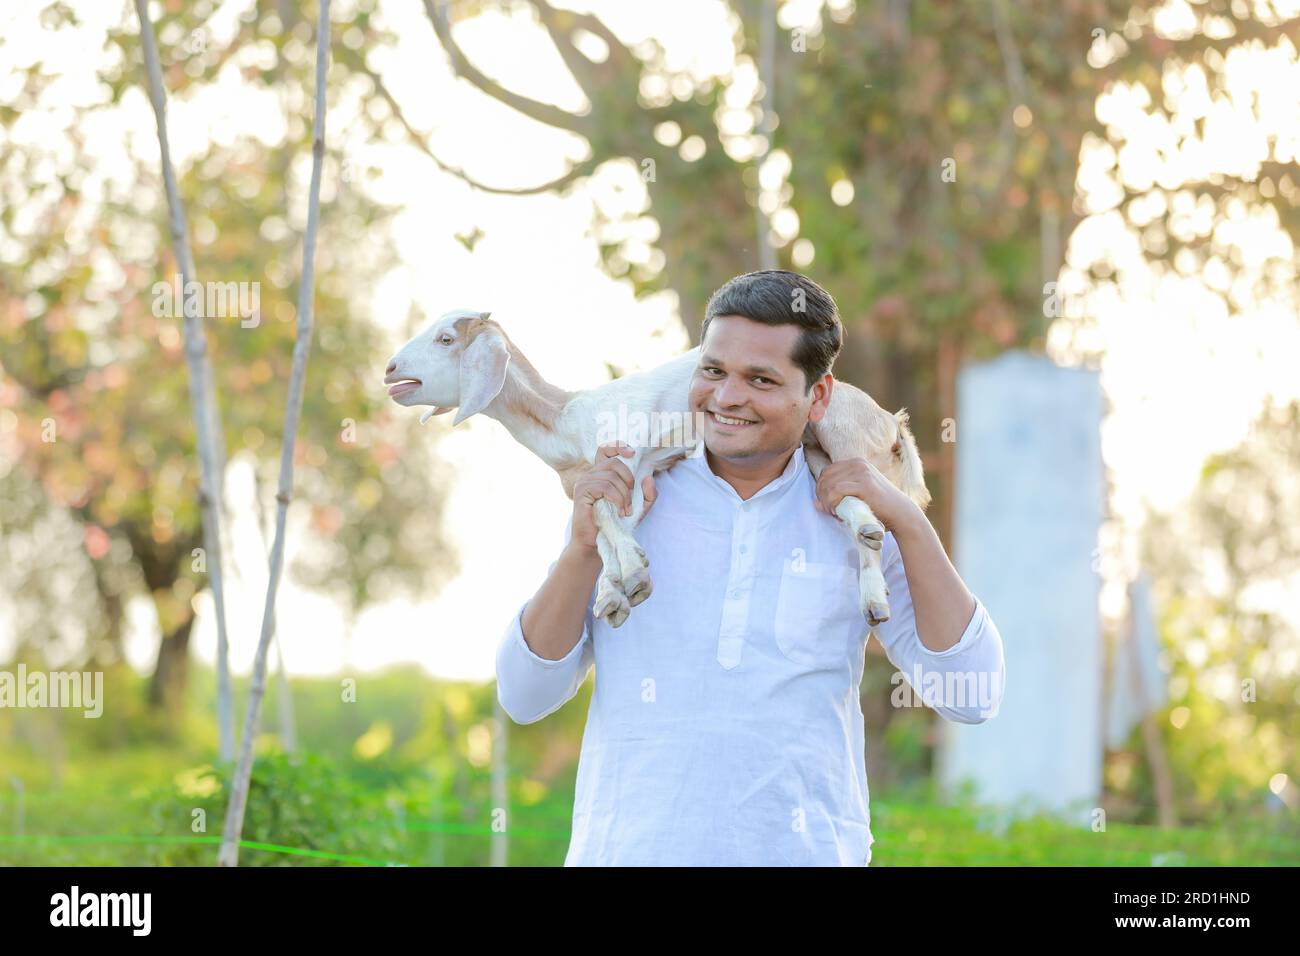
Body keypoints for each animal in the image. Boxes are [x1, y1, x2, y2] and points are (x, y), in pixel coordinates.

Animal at [383, 309, 931, 629]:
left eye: (446, 339)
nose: (390, 370)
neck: (564, 419)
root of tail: (893, 425)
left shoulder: (623, 449)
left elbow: (607, 516)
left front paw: (630, 572)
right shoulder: (629, 474)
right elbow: (608, 520)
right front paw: (616, 590)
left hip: (841, 432)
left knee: (866, 513)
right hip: (818, 455)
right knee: (851, 513)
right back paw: (874, 597)